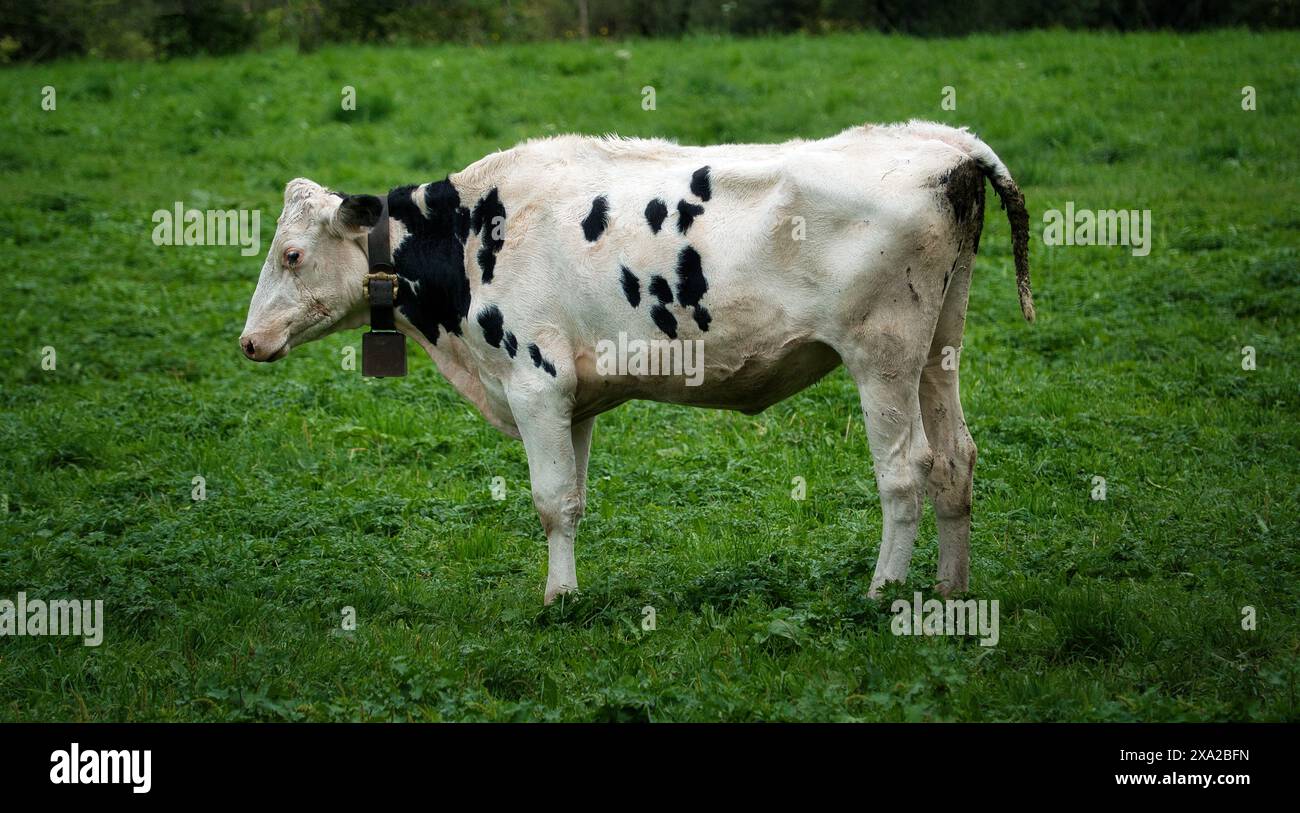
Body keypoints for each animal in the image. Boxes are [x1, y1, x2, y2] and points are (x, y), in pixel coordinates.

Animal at [239, 120, 1033, 605]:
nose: (248, 341)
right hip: (937, 349)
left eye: (292, 255)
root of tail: (944, 142)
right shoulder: (575, 398)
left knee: (905, 471)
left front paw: (557, 601)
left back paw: (882, 594)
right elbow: (574, 501)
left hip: (883, 354)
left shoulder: (534, 383)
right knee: (956, 458)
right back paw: (952, 590)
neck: (470, 235)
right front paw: (571, 592)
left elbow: (549, 500)